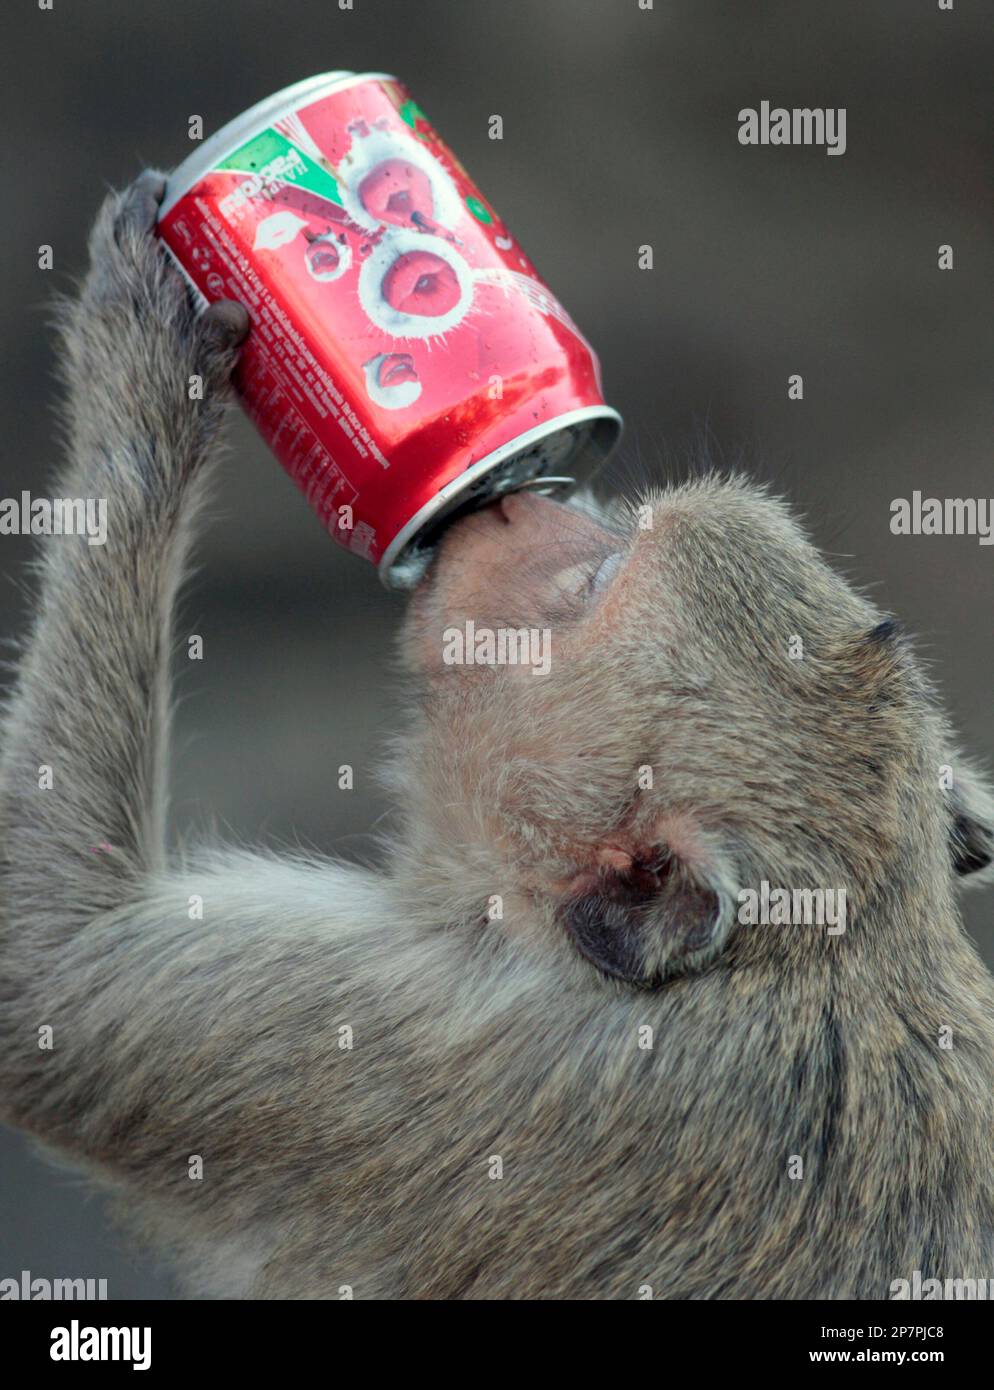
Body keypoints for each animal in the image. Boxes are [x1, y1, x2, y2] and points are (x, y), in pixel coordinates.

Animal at [1, 169, 993, 1300]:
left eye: (594, 582)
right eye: (612, 538)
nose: (512, 501)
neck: (822, 955)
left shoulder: (415, 1032)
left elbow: (49, 969)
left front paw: (149, 360)